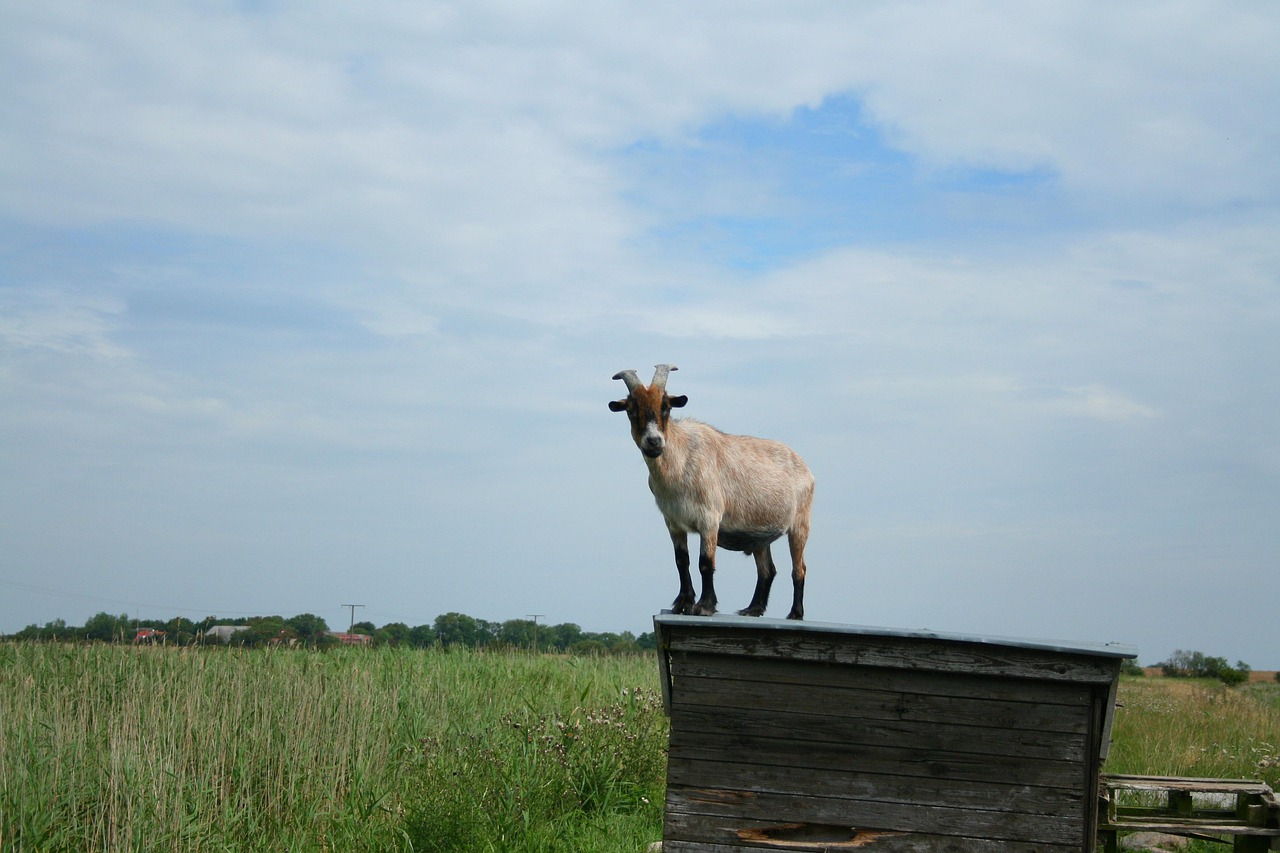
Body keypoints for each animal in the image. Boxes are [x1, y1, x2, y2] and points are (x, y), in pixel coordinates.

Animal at [609, 364, 814, 619]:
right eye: (631, 410)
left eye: (666, 407)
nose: (654, 442)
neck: (680, 462)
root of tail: (805, 468)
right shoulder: (673, 523)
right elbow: (681, 561)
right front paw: (682, 603)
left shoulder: (709, 518)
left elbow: (705, 562)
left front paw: (704, 606)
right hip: (760, 535)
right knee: (767, 569)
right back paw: (752, 609)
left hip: (800, 524)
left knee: (799, 568)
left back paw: (795, 614)